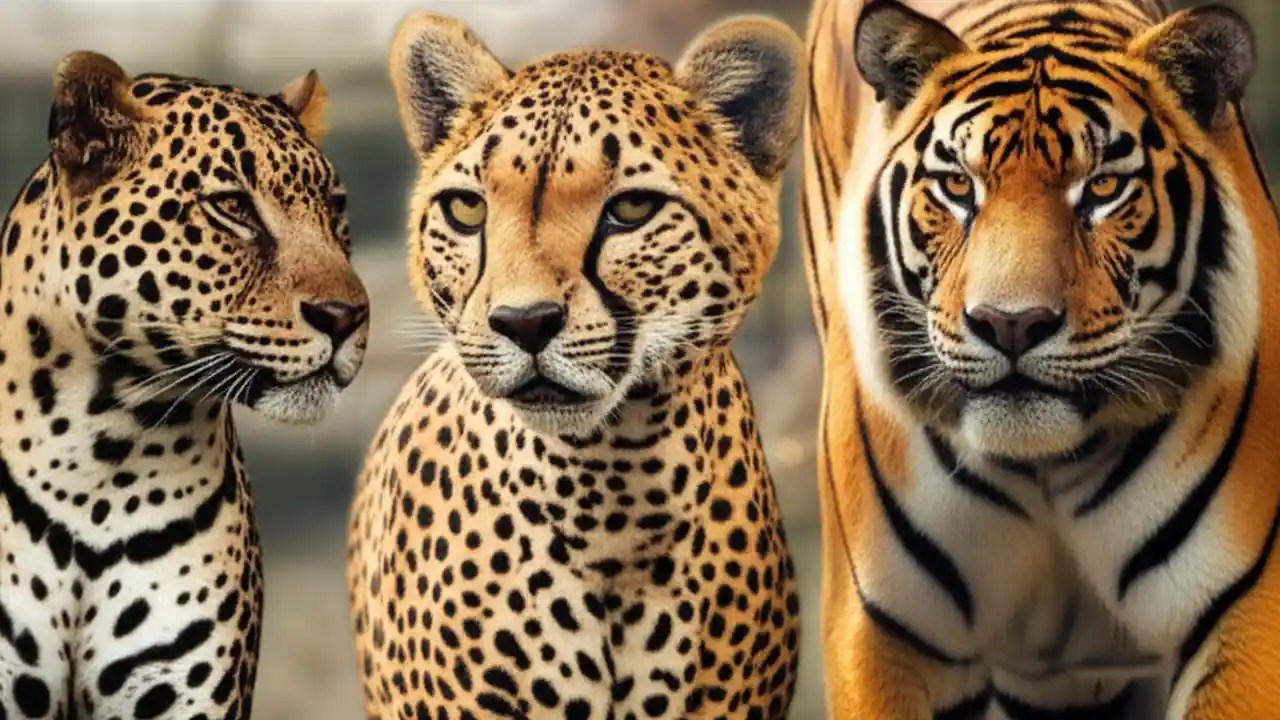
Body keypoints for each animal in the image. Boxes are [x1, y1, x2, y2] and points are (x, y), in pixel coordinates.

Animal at [802, 0, 1280, 717]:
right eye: (958, 186)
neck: (1045, 465)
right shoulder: (880, 629)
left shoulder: (1245, 609)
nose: (1011, 323)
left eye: (1103, 188)